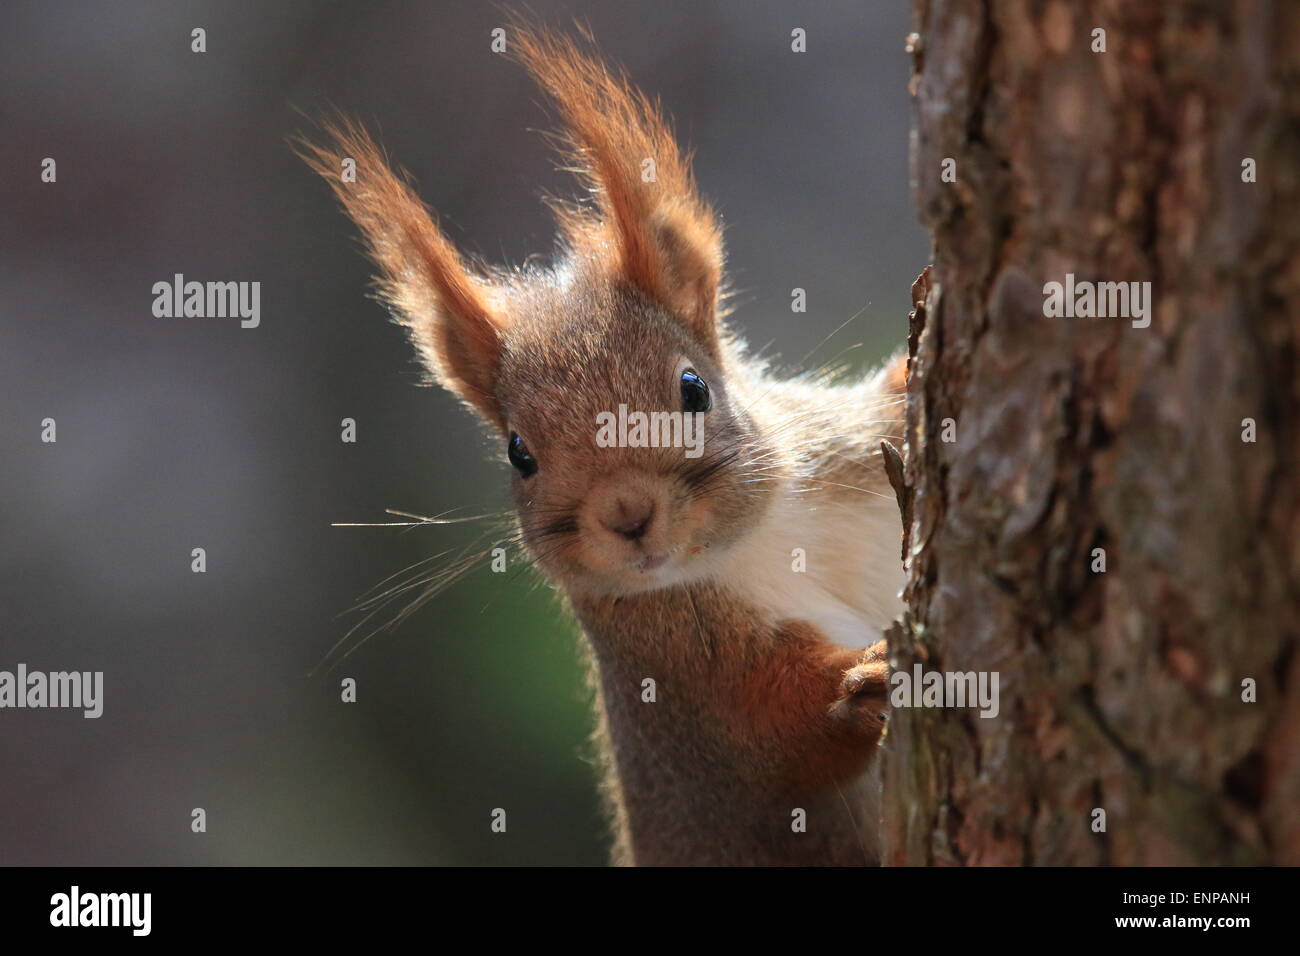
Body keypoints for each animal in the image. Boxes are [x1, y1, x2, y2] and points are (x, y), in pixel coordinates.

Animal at [300, 26, 907, 866]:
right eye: (519, 453)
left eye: (693, 388)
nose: (626, 514)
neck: (770, 533)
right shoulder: (680, 680)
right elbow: (776, 735)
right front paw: (861, 680)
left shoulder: (844, 449)